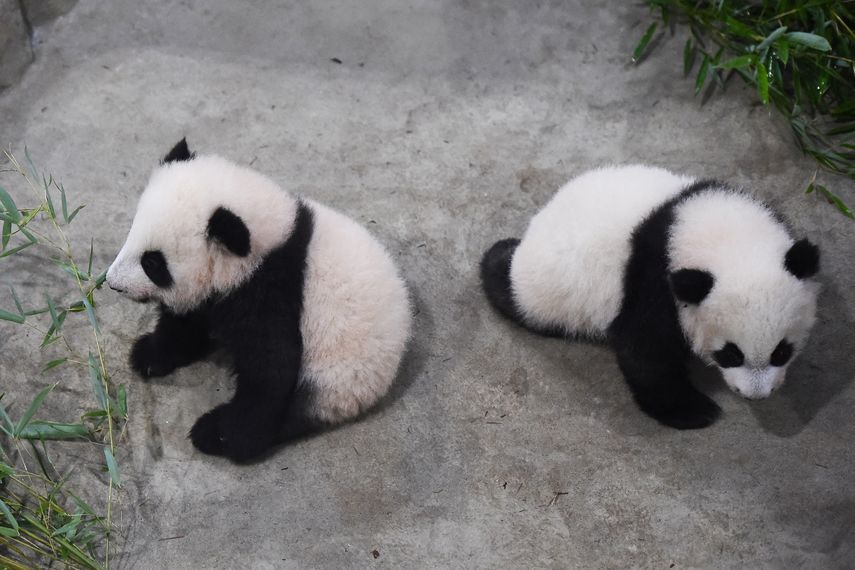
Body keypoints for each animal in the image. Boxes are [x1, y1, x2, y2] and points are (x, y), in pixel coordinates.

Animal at [106, 139, 412, 462]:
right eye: (131, 235)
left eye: (152, 263)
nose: (113, 284)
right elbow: (188, 323)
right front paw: (149, 354)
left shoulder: (271, 292)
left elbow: (271, 367)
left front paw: (227, 435)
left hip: (337, 375)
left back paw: (219, 433)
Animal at [481, 164, 820, 429]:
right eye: (731, 353)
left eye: (782, 351)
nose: (756, 395)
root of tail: (536, 226)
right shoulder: (652, 279)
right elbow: (644, 350)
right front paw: (694, 410)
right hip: (551, 290)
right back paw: (498, 258)